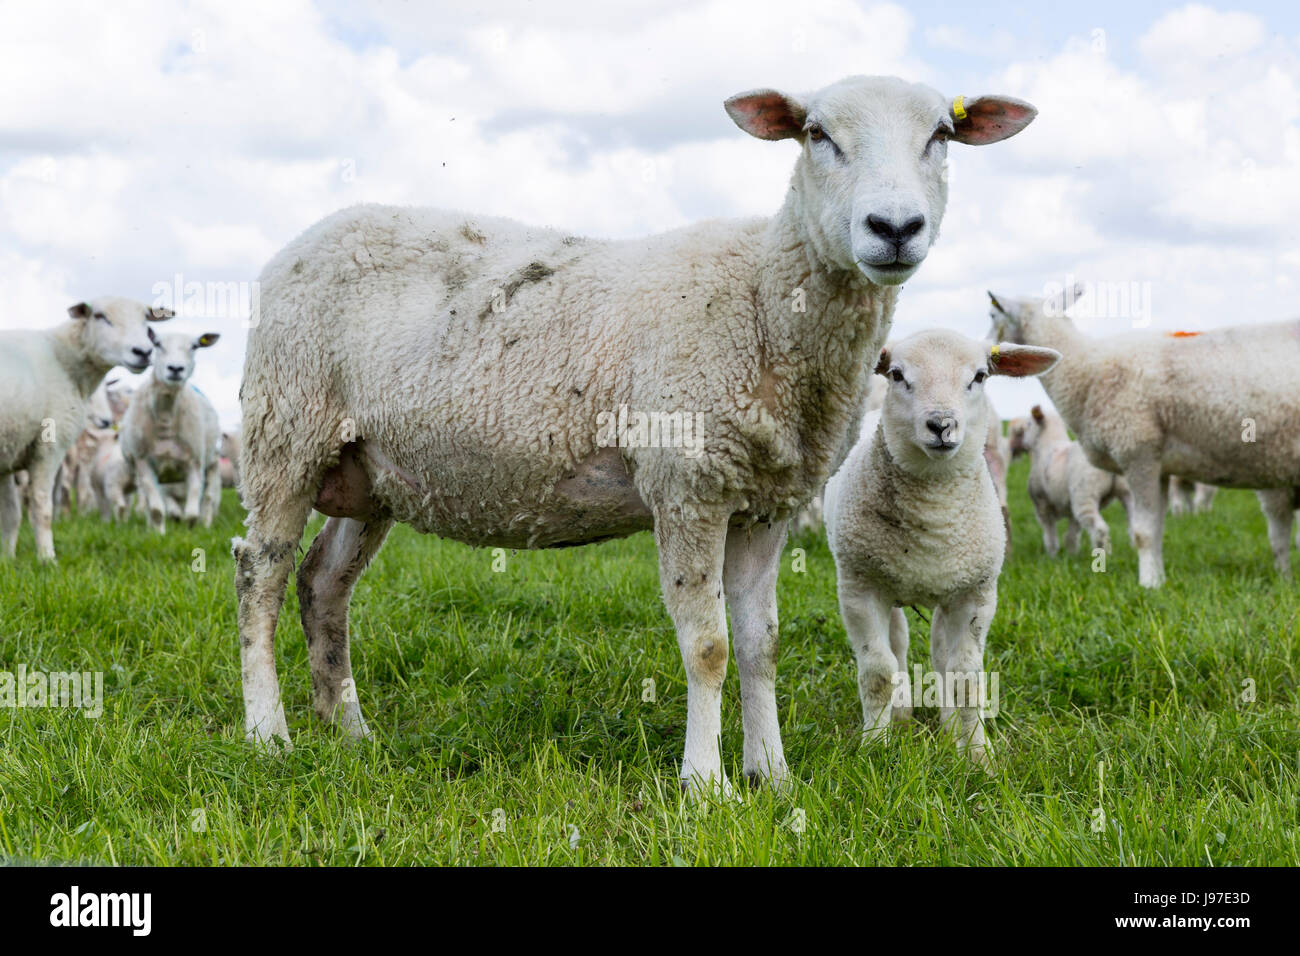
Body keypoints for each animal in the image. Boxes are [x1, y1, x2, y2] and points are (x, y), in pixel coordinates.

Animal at [0, 298, 172, 561]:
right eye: (100, 316)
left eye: (145, 318)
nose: (143, 352)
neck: (63, 358)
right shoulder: (48, 447)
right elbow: (43, 507)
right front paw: (47, 559)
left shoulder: (9, 454)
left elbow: (11, 515)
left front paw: (7, 559)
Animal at [120, 330, 222, 533]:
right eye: (157, 344)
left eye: (194, 346)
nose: (175, 368)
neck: (165, 417)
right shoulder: (143, 464)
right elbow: (157, 510)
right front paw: (158, 534)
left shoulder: (195, 463)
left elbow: (192, 513)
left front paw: (190, 533)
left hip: (212, 461)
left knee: (208, 497)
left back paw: (206, 524)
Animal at [822, 330, 1059, 765]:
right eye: (897, 374)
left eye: (980, 376)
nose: (941, 425)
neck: (932, 520)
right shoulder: (858, 587)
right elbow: (877, 671)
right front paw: (874, 746)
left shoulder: (976, 594)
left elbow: (967, 677)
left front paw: (978, 755)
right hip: (887, 582)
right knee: (898, 644)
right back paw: (901, 714)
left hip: (947, 587)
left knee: (939, 655)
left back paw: (948, 726)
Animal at [1010, 405, 1132, 556]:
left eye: (1029, 424)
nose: (1021, 443)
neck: (1049, 444)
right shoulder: (1070, 507)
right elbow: (1072, 534)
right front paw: (1072, 555)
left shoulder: (1042, 504)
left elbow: (1050, 533)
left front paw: (1052, 554)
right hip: (1128, 492)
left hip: (1084, 495)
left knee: (1100, 528)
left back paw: (1103, 553)